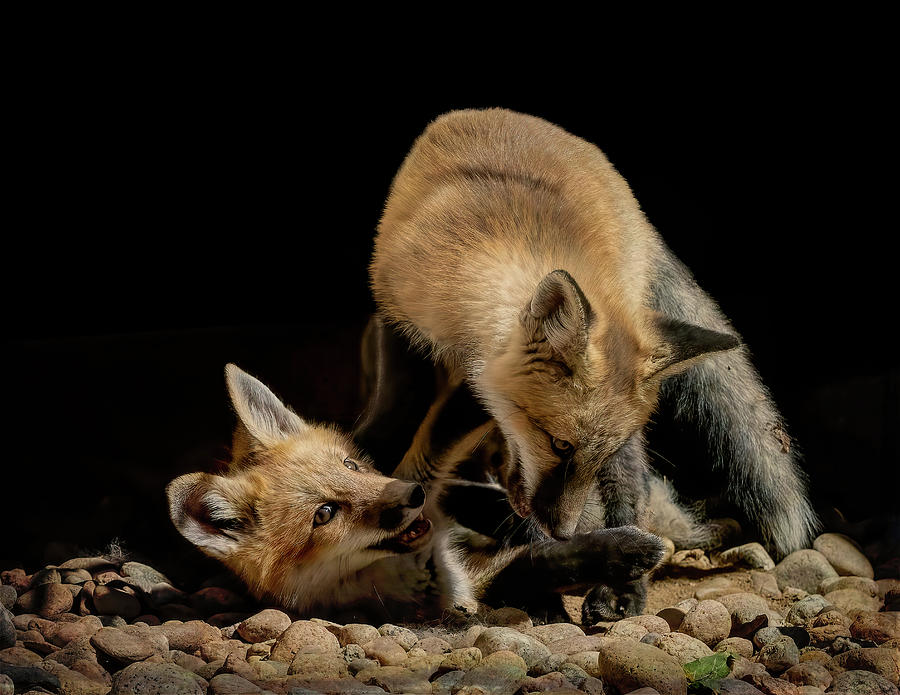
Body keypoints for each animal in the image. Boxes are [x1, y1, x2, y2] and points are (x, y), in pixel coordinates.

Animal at [167, 364, 665, 623]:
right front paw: (626, 554)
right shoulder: (468, 591)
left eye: (351, 466)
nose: (412, 496)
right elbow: (539, 562)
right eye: (325, 513)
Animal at [369, 108, 819, 562]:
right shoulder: (400, 324)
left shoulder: (479, 385)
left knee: (632, 483)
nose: (563, 534)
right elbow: (396, 414)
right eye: (560, 445)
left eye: (587, 453)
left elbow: (432, 451)